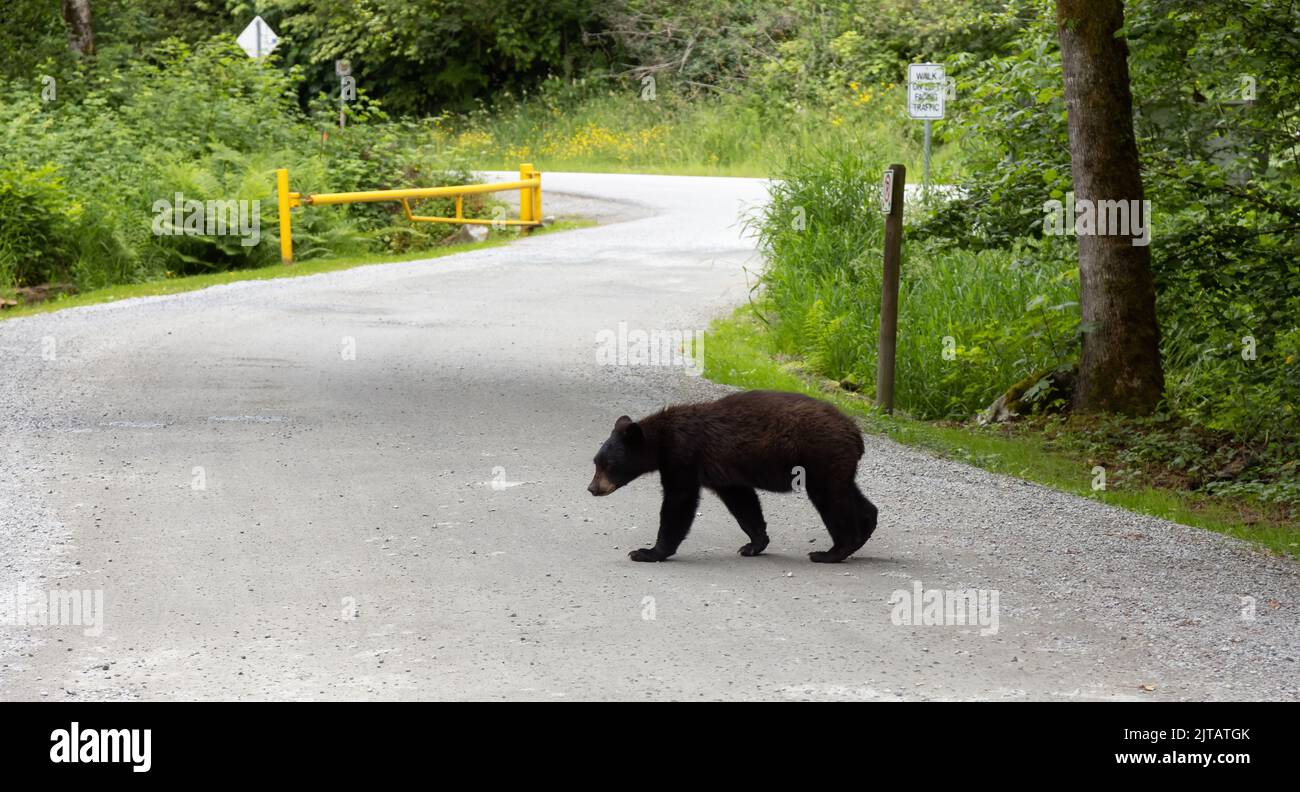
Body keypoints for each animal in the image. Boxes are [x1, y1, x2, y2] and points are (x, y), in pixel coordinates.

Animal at [587, 389, 878, 563]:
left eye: (608, 464)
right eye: (596, 462)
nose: (592, 488)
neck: (662, 441)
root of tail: (855, 432)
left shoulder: (683, 458)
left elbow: (678, 503)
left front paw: (648, 551)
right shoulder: (723, 473)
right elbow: (742, 502)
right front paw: (754, 544)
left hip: (821, 458)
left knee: (831, 500)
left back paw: (831, 551)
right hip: (836, 464)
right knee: (851, 494)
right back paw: (864, 530)